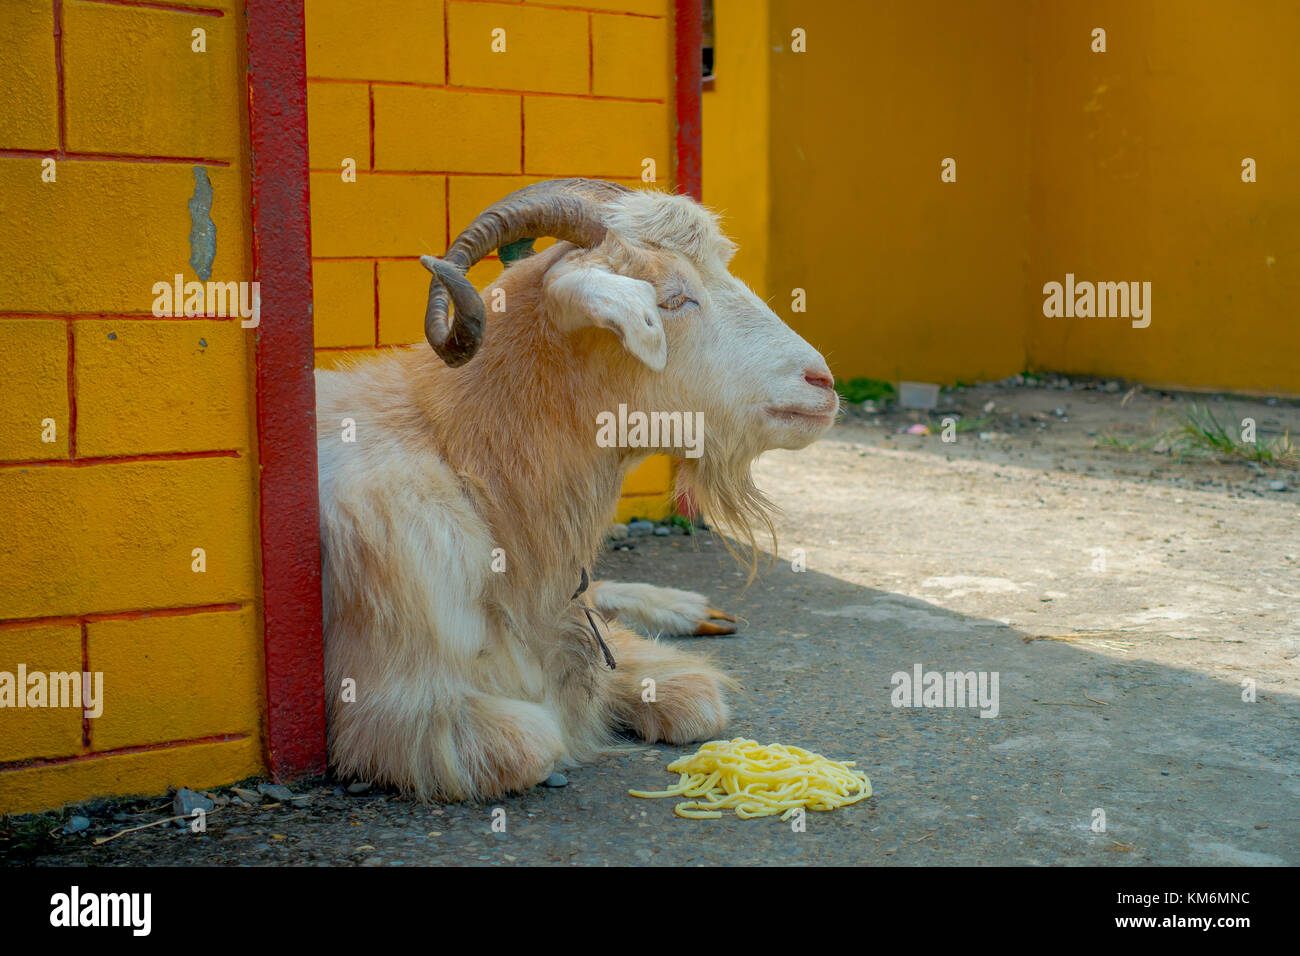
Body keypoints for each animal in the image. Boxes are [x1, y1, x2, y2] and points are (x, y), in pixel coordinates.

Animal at [315, 179, 838, 800]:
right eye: (671, 299)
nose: (822, 382)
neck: (469, 466)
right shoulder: (392, 709)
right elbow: (534, 744)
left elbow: (696, 701)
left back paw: (690, 608)